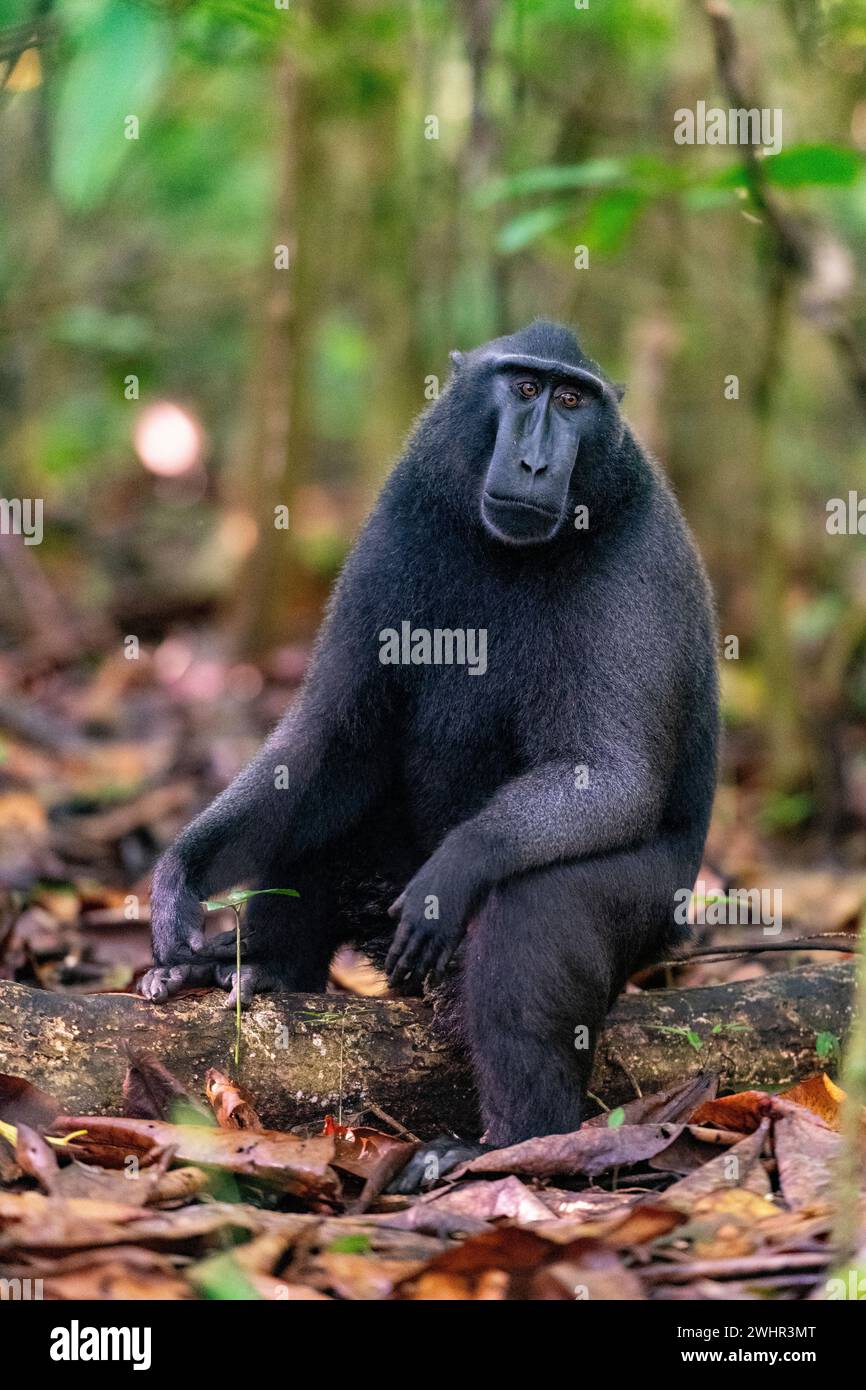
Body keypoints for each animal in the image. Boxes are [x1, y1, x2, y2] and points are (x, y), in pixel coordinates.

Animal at [141, 320, 719, 1153]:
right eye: (524, 387)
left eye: (572, 400)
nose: (535, 462)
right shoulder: (399, 522)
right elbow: (334, 732)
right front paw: (180, 877)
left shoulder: (636, 561)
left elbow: (608, 776)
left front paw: (456, 870)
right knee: (316, 813)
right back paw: (264, 972)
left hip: (656, 913)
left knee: (535, 899)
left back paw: (508, 1144)